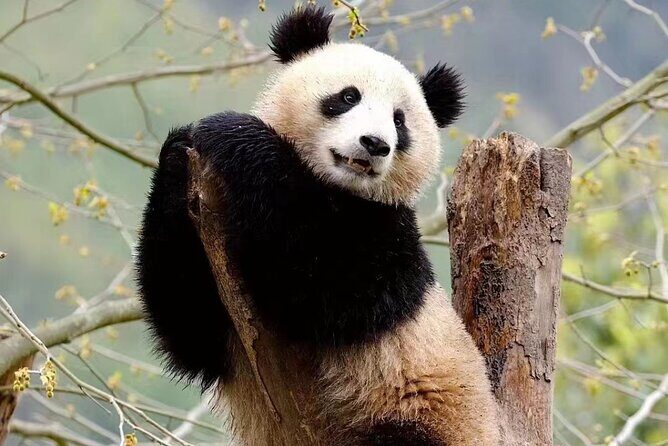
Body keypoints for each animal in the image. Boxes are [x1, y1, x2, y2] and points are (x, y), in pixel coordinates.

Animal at [137, 6, 500, 446]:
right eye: (348, 97)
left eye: (400, 121)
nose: (375, 144)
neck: (334, 188)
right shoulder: (223, 327)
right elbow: (188, 321)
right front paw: (177, 151)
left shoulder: (387, 235)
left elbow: (330, 285)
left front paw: (232, 130)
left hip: (425, 419)